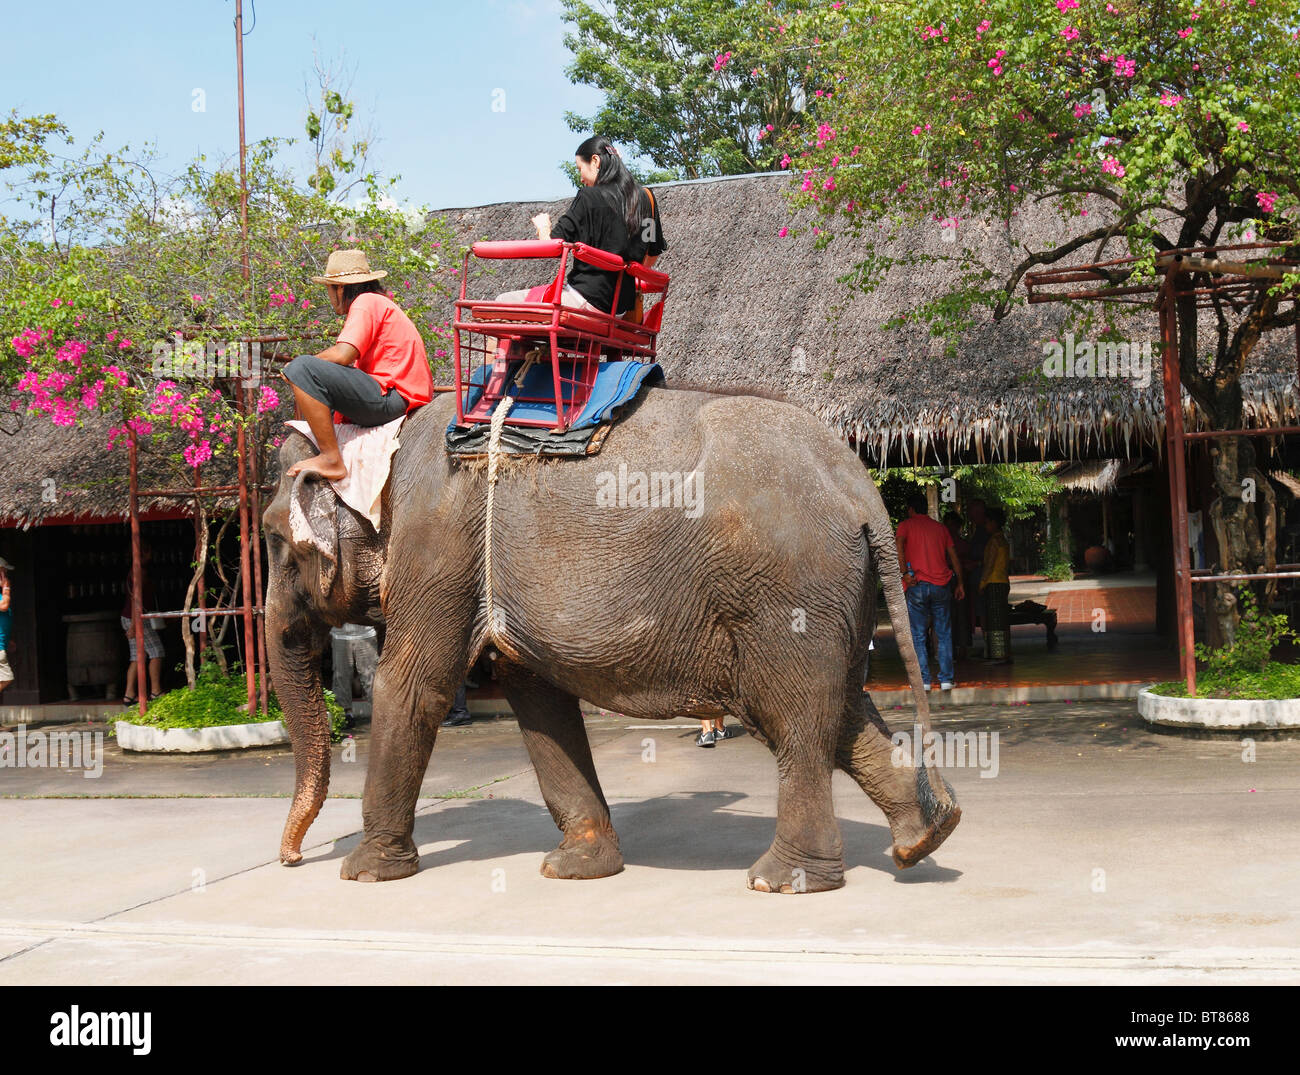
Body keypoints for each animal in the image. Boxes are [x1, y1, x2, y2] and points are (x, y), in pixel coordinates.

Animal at [263, 387, 960, 892]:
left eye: (272, 539)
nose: (292, 859)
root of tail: (860, 488)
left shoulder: (438, 541)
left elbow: (413, 687)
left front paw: (364, 875)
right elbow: (536, 696)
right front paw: (577, 869)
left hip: (786, 593)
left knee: (792, 718)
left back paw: (780, 882)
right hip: (831, 594)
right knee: (841, 711)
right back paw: (924, 837)